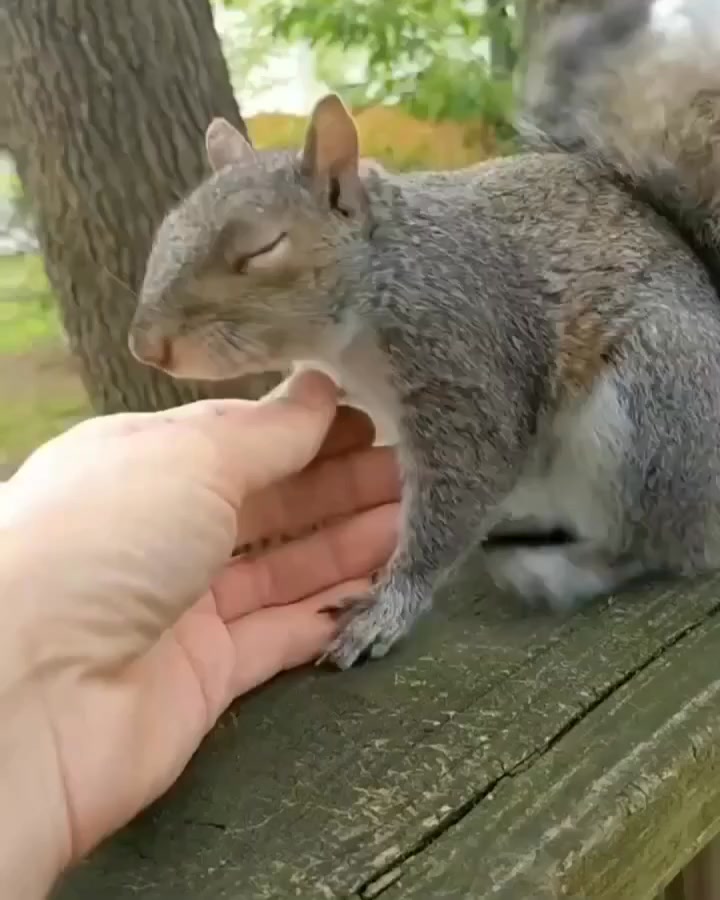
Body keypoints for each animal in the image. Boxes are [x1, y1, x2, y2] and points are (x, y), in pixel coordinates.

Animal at [129, 0, 720, 669]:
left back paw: (565, 571)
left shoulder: (463, 354)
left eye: (262, 248)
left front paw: (390, 606)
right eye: (166, 229)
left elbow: (467, 479)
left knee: (662, 547)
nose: (147, 346)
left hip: (648, 417)